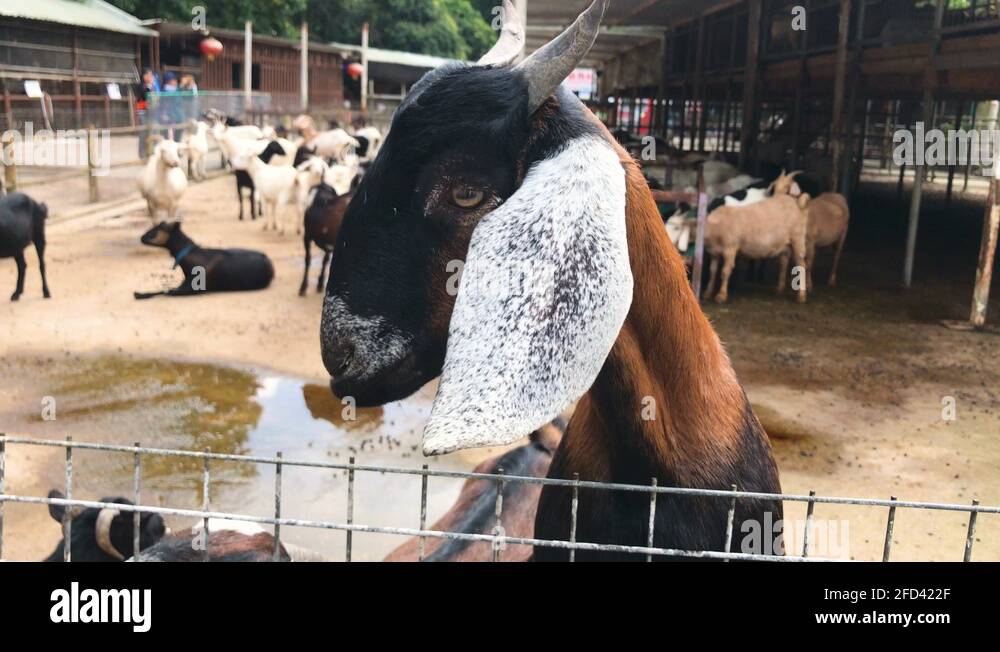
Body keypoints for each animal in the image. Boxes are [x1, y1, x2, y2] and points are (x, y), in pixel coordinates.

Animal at [133, 221, 274, 299]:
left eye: (159, 228)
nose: (141, 237)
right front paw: (140, 293)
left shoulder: (194, 288)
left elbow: (167, 291)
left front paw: (140, 295)